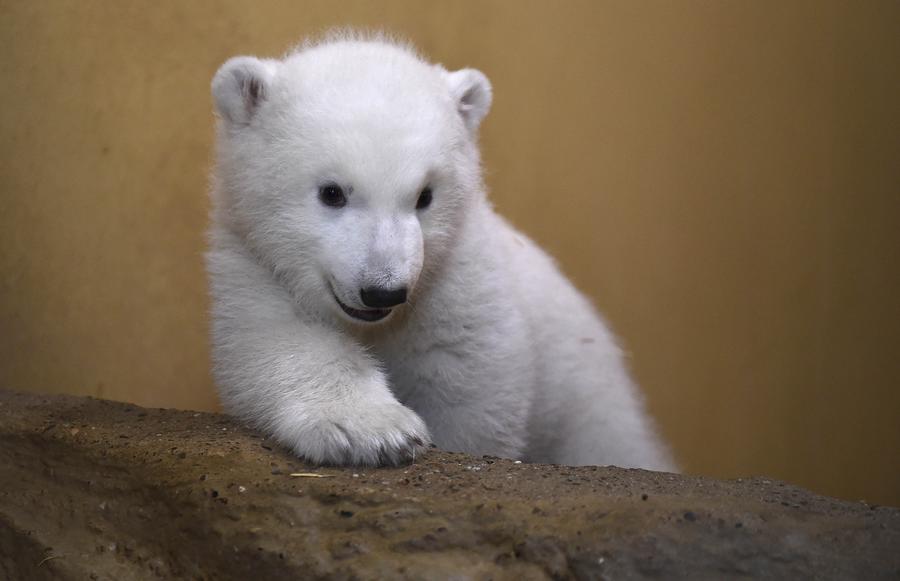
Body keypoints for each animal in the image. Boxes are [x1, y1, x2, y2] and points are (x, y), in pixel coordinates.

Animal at [207, 33, 675, 471]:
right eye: (332, 192)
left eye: (424, 196)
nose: (383, 290)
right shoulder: (251, 260)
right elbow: (278, 337)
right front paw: (373, 433)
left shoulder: (457, 275)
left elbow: (469, 377)